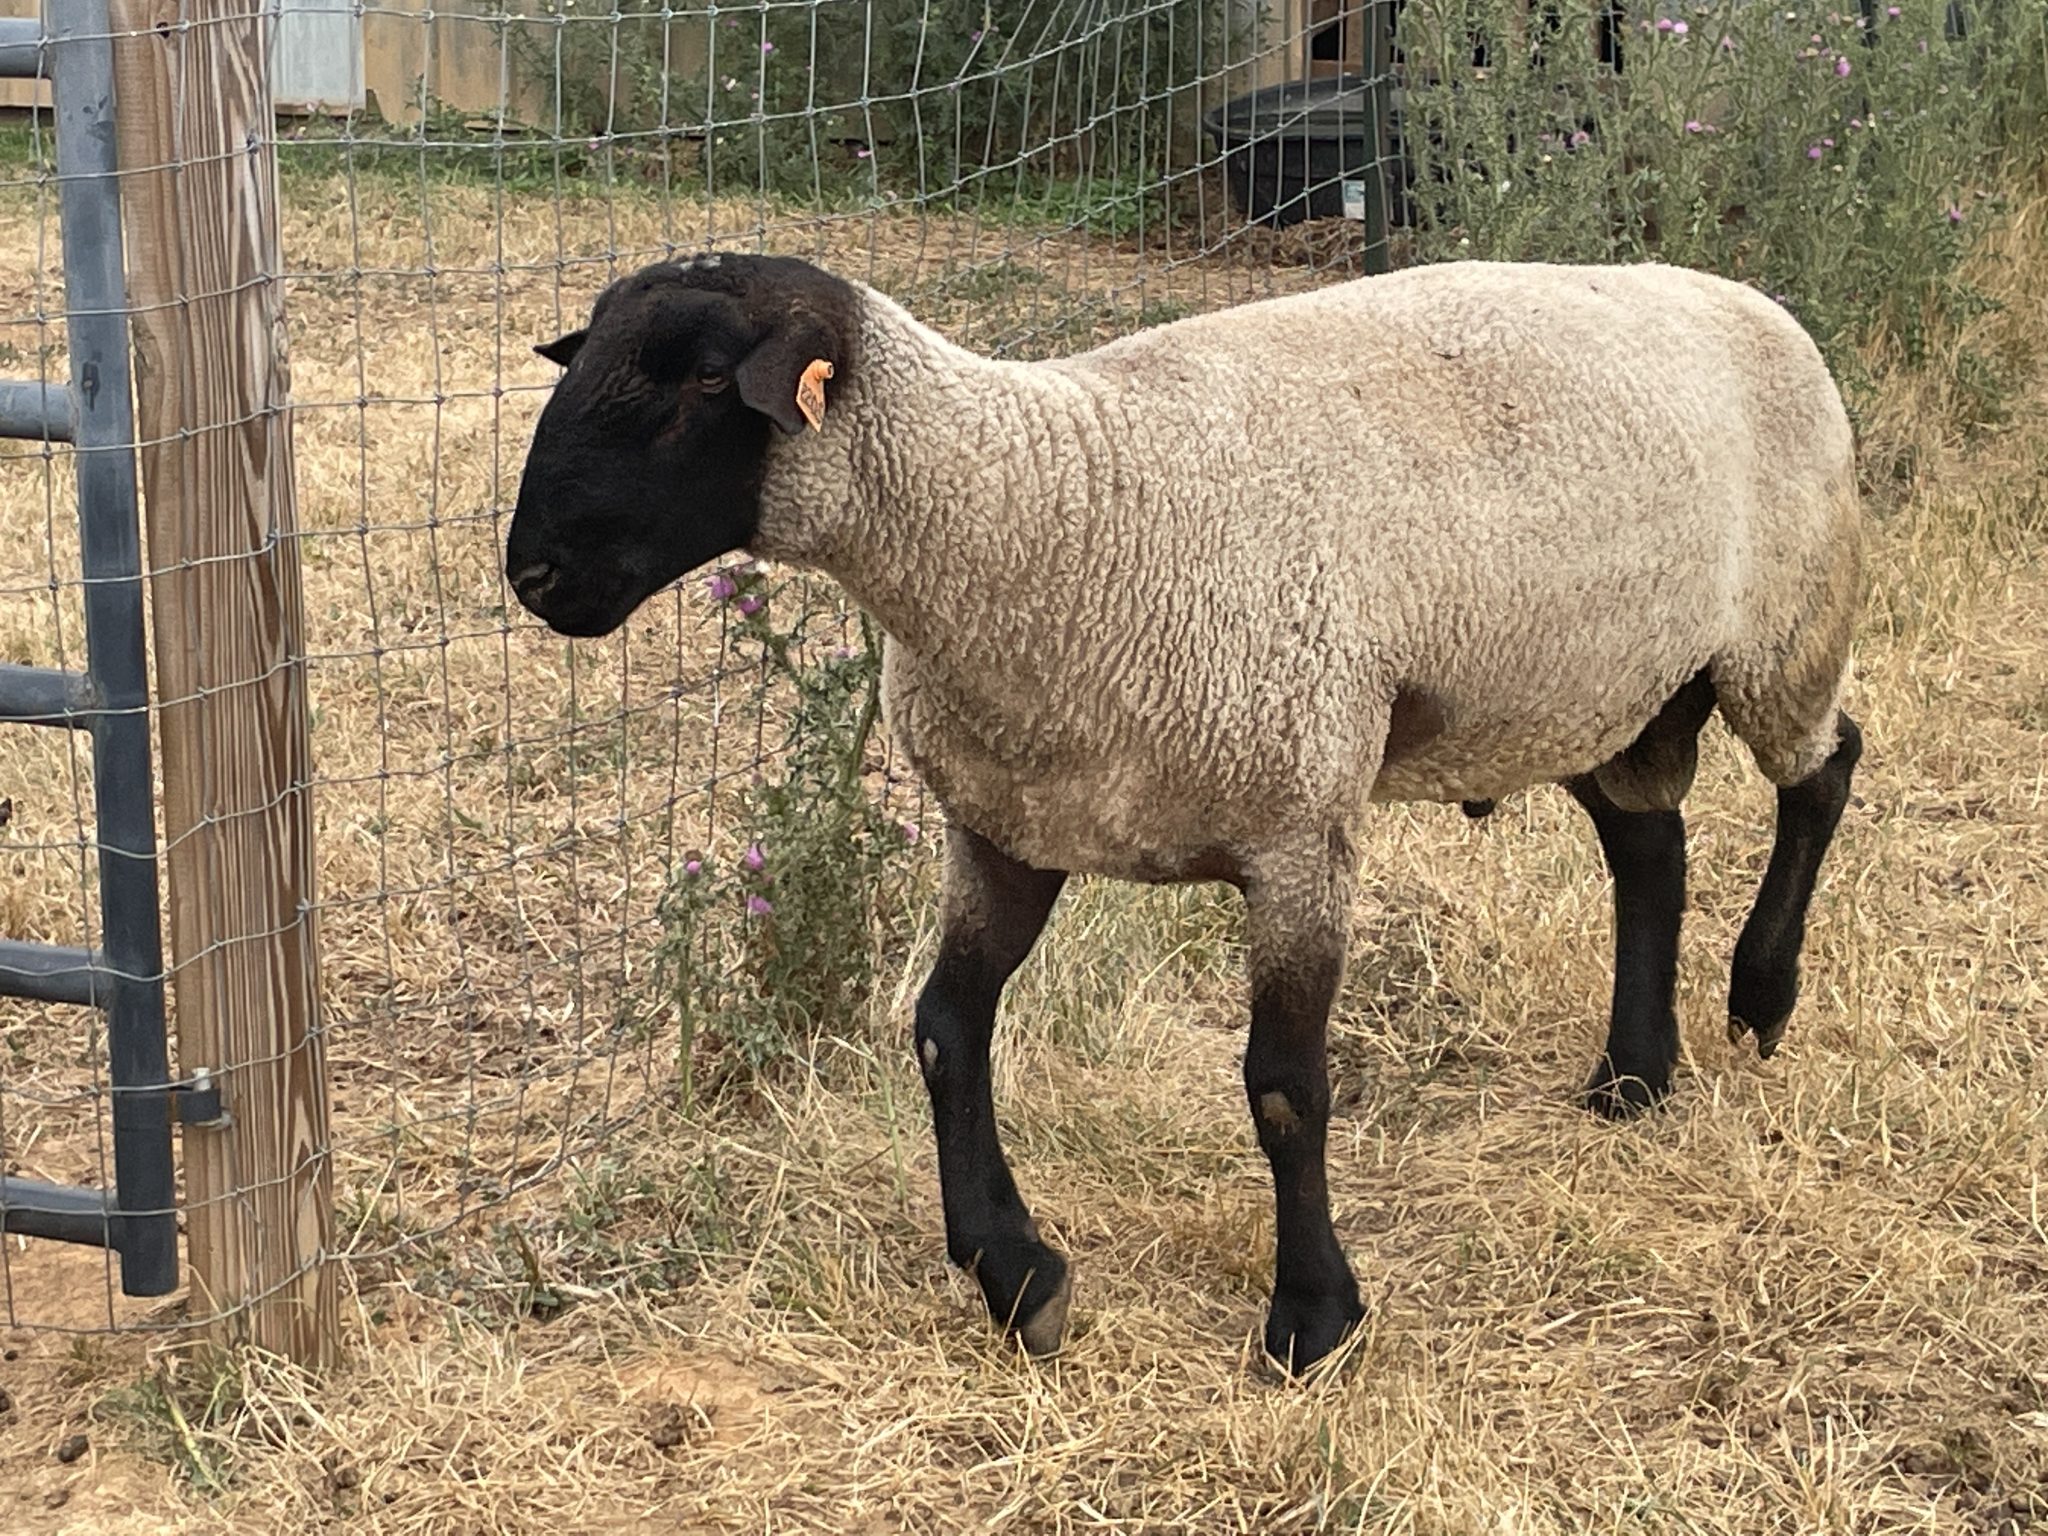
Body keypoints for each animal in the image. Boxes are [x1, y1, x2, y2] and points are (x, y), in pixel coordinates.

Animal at [503, 251, 1865, 1375]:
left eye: (699, 383)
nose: (532, 576)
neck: (1037, 506)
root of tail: (1744, 297)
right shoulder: (1009, 831)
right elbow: (945, 1032)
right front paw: (1017, 1277)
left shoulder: (1297, 835)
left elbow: (1283, 1091)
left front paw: (1311, 1319)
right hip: (1612, 685)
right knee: (1648, 846)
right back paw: (1633, 1076)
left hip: (1781, 629)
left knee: (1823, 768)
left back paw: (1759, 995)